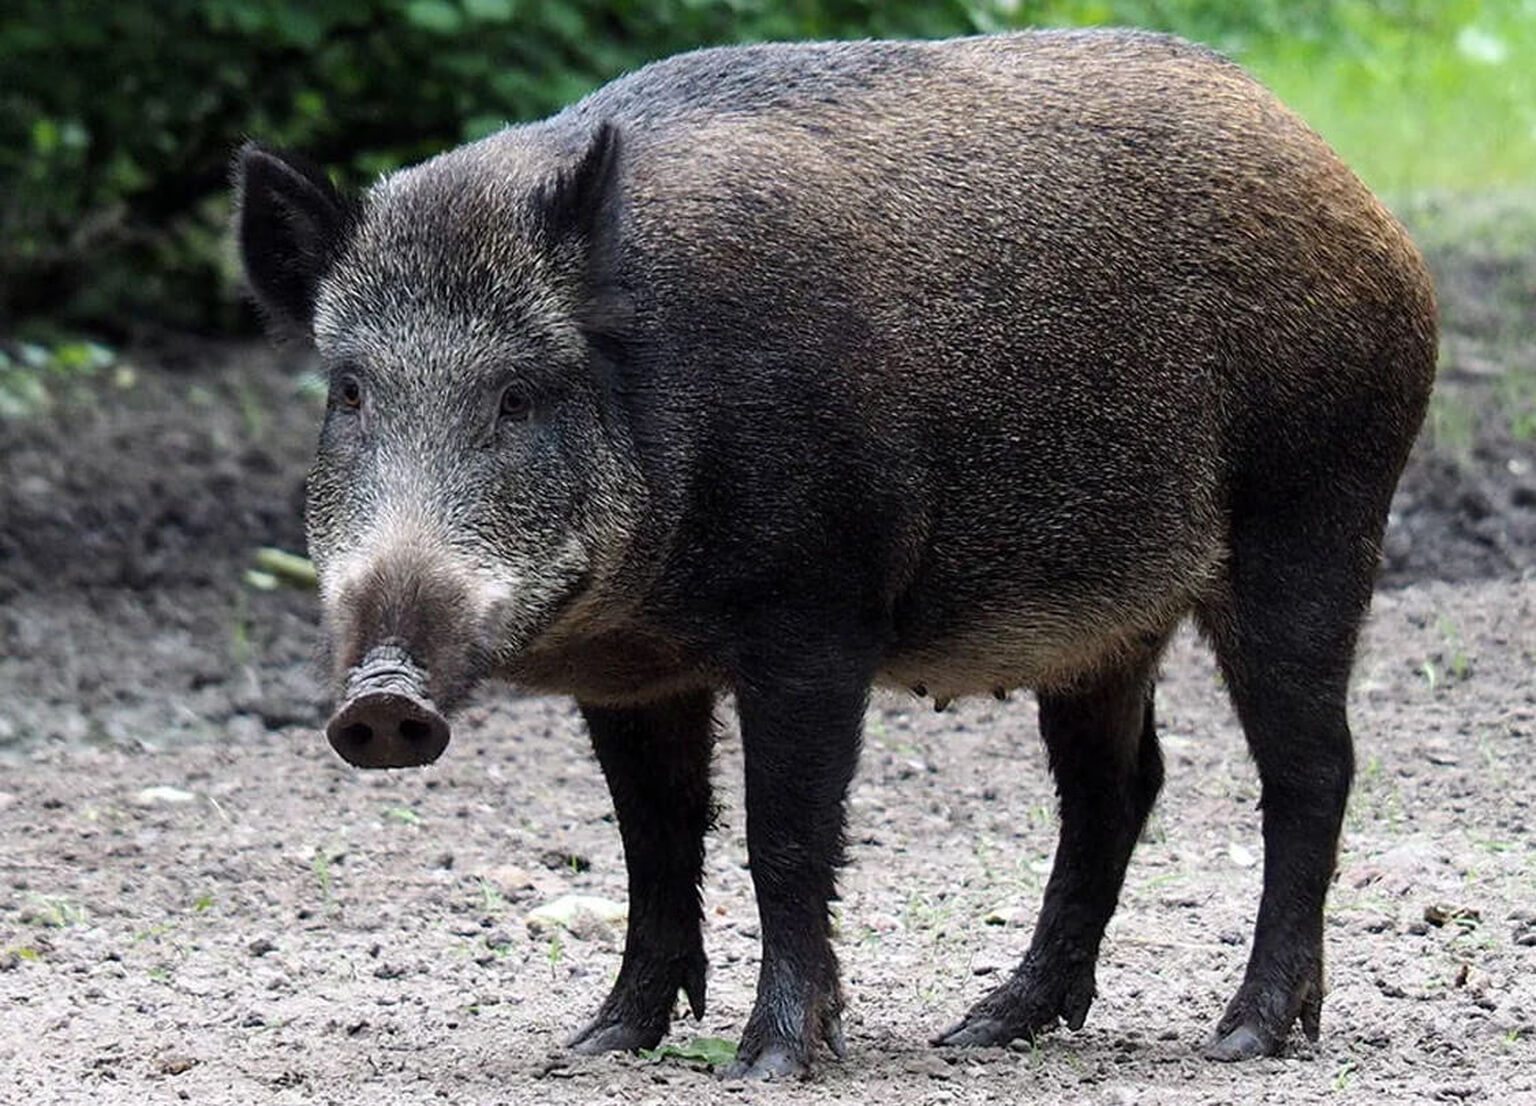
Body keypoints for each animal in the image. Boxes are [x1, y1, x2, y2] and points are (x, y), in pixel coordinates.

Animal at [234, 29, 1436, 1080]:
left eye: (518, 395)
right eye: (350, 392)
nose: (383, 700)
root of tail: (1360, 201)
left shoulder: (818, 613)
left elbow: (787, 832)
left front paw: (772, 1061)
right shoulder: (631, 673)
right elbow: (654, 837)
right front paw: (599, 1042)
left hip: (1315, 515)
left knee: (1311, 767)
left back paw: (1244, 1036)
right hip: (1106, 621)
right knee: (1118, 786)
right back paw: (987, 1025)